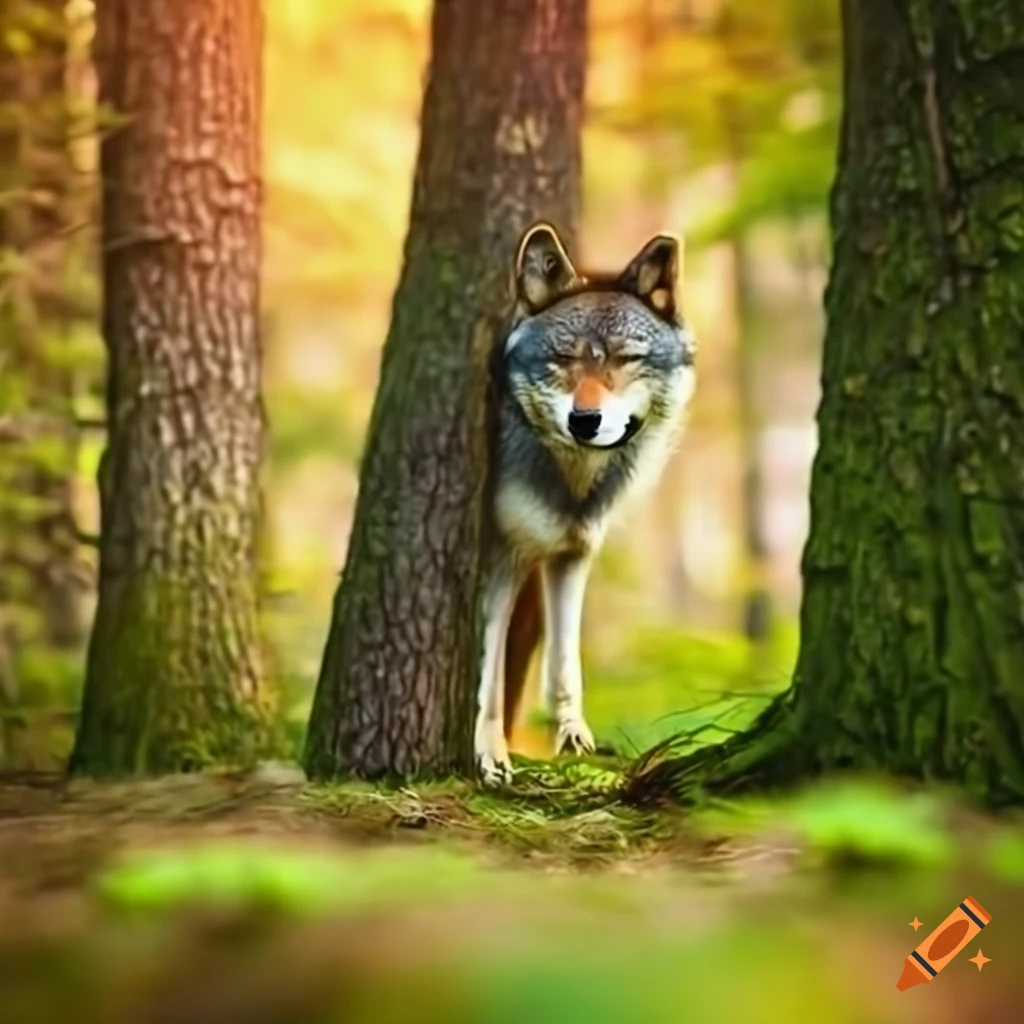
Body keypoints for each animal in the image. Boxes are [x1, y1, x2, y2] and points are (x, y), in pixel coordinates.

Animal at [475, 221, 697, 784]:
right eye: (564, 360)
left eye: (624, 359)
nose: (585, 420)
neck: (571, 482)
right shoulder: (500, 558)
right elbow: (489, 674)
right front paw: (490, 755)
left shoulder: (571, 554)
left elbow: (564, 662)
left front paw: (573, 738)